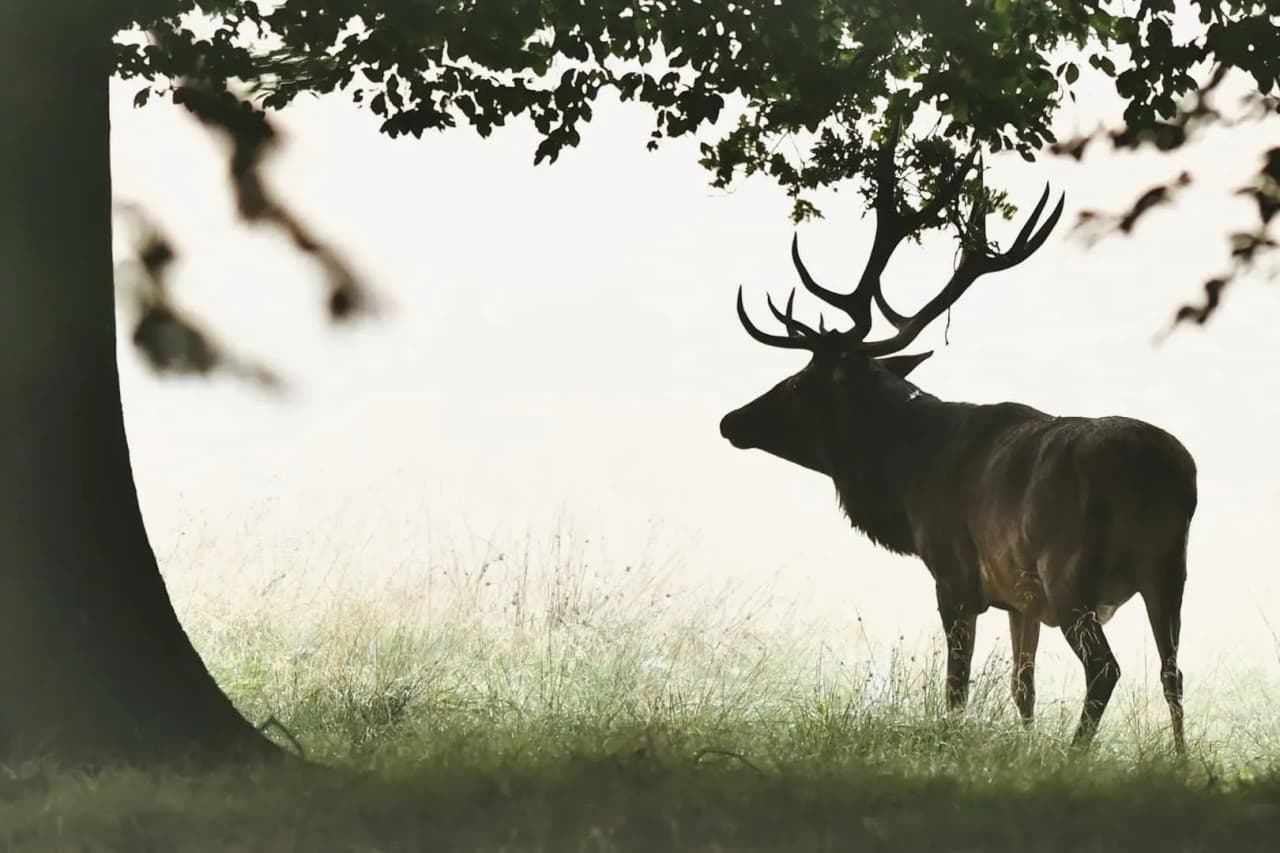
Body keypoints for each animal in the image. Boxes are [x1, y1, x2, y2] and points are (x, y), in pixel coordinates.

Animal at [718, 150, 1197, 755]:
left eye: (800, 383)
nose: (730, 421)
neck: (905, 482)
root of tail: (1163, 474)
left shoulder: (953, 574)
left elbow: (956, 688)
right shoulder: (1019, 598)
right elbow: (1023, 687)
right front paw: (1025, 748)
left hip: (1070, 572)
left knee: (1106, 669)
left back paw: (1077, 754)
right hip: (1170, 569)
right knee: (1172, 671)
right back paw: (1179, 761)